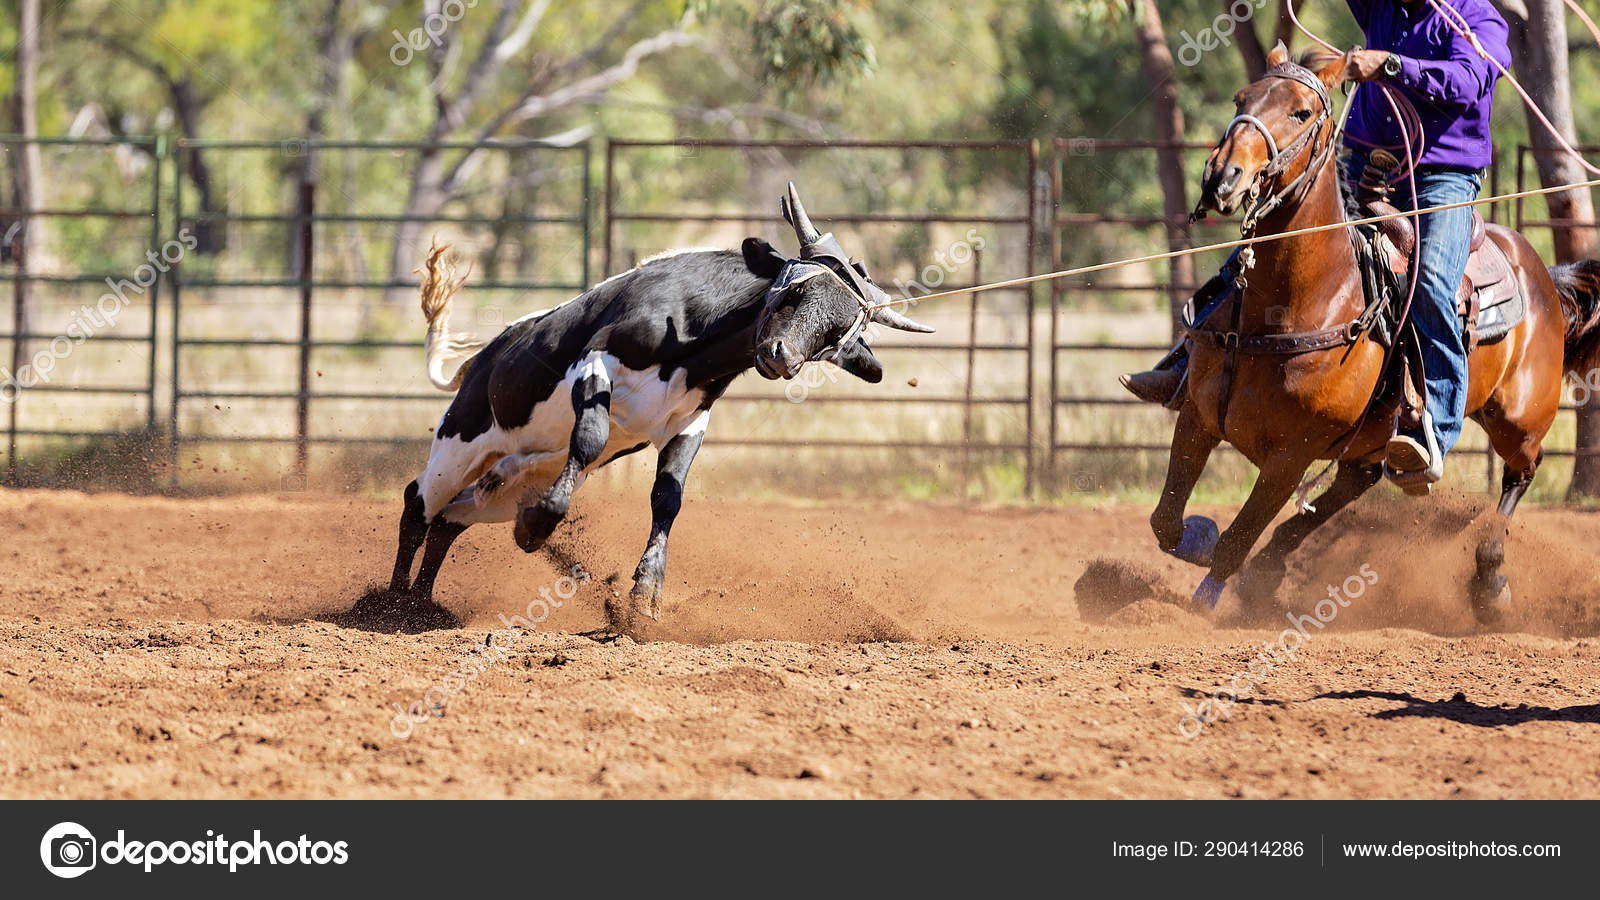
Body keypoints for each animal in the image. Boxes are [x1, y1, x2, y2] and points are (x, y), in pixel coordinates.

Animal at [345, 184, 932, 635]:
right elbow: (589, 439)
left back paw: (422, 605)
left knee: (449, 519)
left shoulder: (690, 423)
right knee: (419, 504)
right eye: (793, 290)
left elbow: (667, 498)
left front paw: (645, 593)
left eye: (837, 332)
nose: (779, 355)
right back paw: (390, 607)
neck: (691, 338)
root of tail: (482, 361)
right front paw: (538, 526)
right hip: (462, 441)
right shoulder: (598, 363)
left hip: (509, 479)